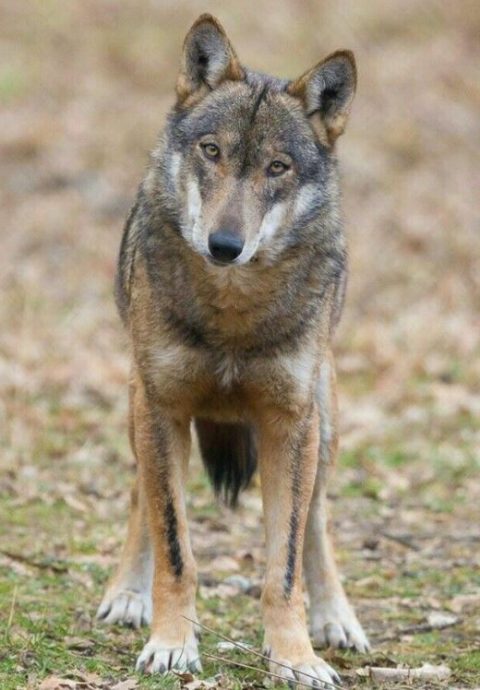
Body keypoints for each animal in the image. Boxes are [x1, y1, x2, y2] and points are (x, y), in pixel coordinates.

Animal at [96, 14, 369, 687]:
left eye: (277, 167)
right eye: (212, 151)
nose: (225, 244)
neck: (232, 312)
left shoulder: (289, 423)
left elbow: (285, 564)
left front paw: (297, 656)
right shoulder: (163, 409)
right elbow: (175, 547)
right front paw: (171, 645)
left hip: (323, 424)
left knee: (317, 520)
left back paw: (337, 619)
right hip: (140, 411)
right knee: (142, 496)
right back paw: (128, 595)